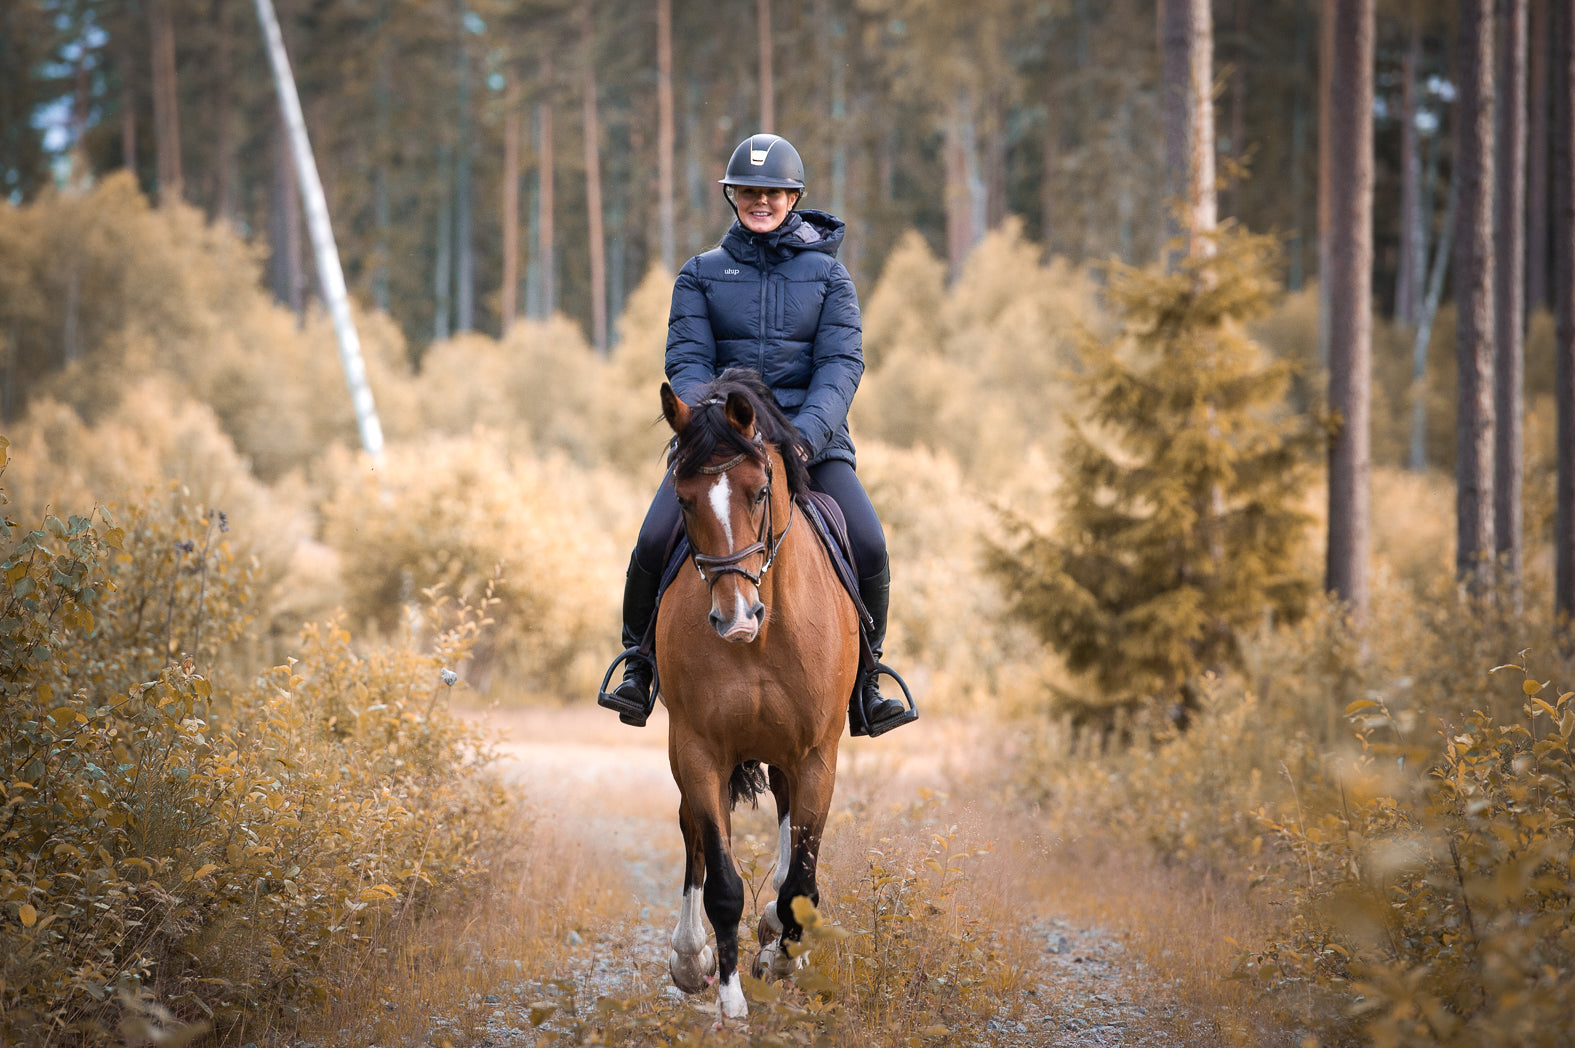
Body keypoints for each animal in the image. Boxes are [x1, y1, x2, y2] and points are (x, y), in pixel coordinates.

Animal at [654, 370, 862, 1020]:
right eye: (684, 499)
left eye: (760, 490)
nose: (736, 617)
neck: (763, 640)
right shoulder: (698, 750)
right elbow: (720, 879)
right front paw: (729, 998)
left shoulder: (818, 755)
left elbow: (802, 884)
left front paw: (780, 955)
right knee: (693, 833)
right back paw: (689, 955)